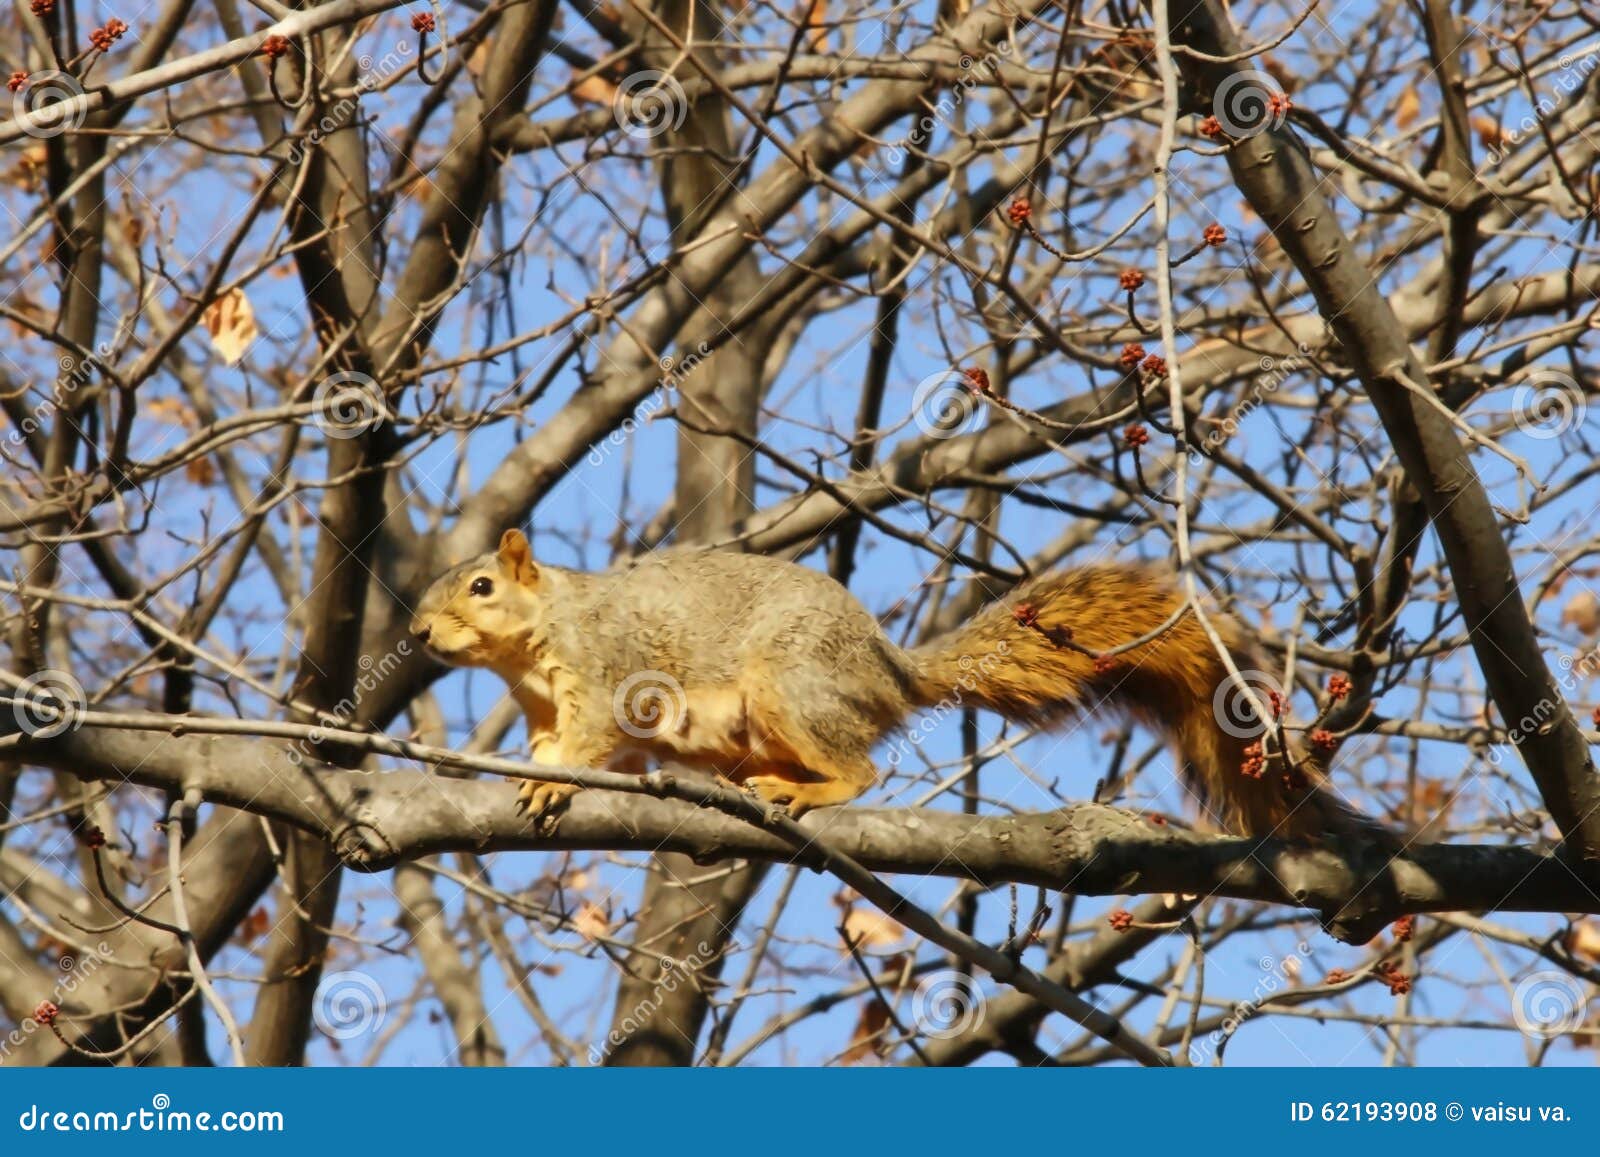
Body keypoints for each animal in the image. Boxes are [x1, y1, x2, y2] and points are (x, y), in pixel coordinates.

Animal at [409, 529, 1377, 839]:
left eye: (482, 586)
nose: (417, 633)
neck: (532, 647)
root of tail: (888, 671)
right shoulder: (540, 703)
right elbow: (550, 741)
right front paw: (532, 768)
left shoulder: (609, 671)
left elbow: (595, 738)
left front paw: (550, 781)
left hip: (789, 685)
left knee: (864, 770)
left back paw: (814, 788)